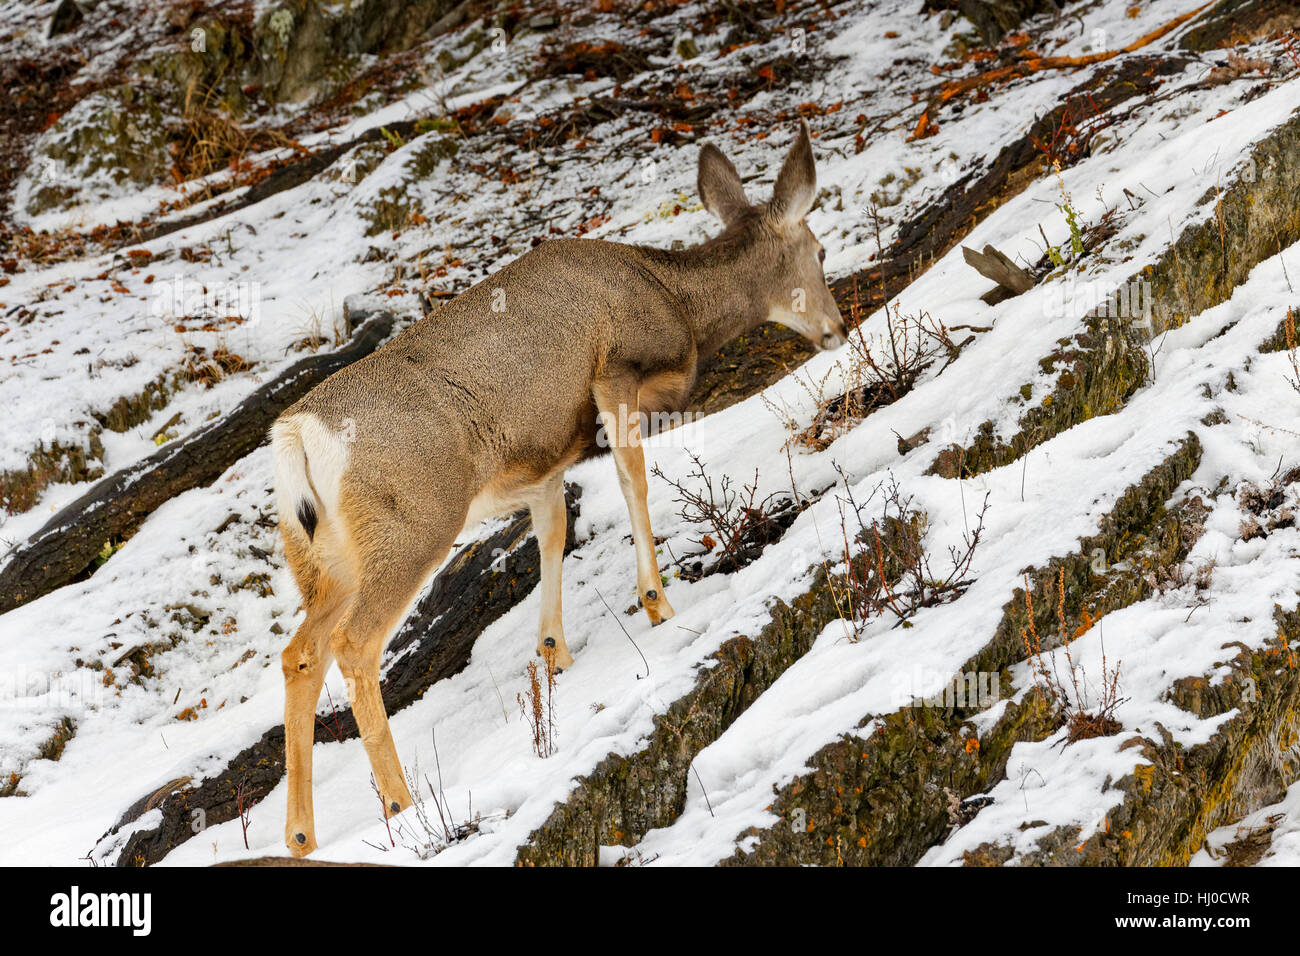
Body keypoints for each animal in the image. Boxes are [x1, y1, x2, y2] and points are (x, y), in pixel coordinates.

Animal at [270, 119, 845, 856]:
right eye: (820, 249)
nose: (836, 328)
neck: (675, 302)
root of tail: (296, 436)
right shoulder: (615, 370)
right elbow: (633, 482)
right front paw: (658, 603)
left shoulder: (540, 469)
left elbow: (553, 535)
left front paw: (557, 653)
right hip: (412, 524)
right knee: (354, 646)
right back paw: (401, 802)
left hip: (322, 558)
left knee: (300, 654)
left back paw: (302, 835)